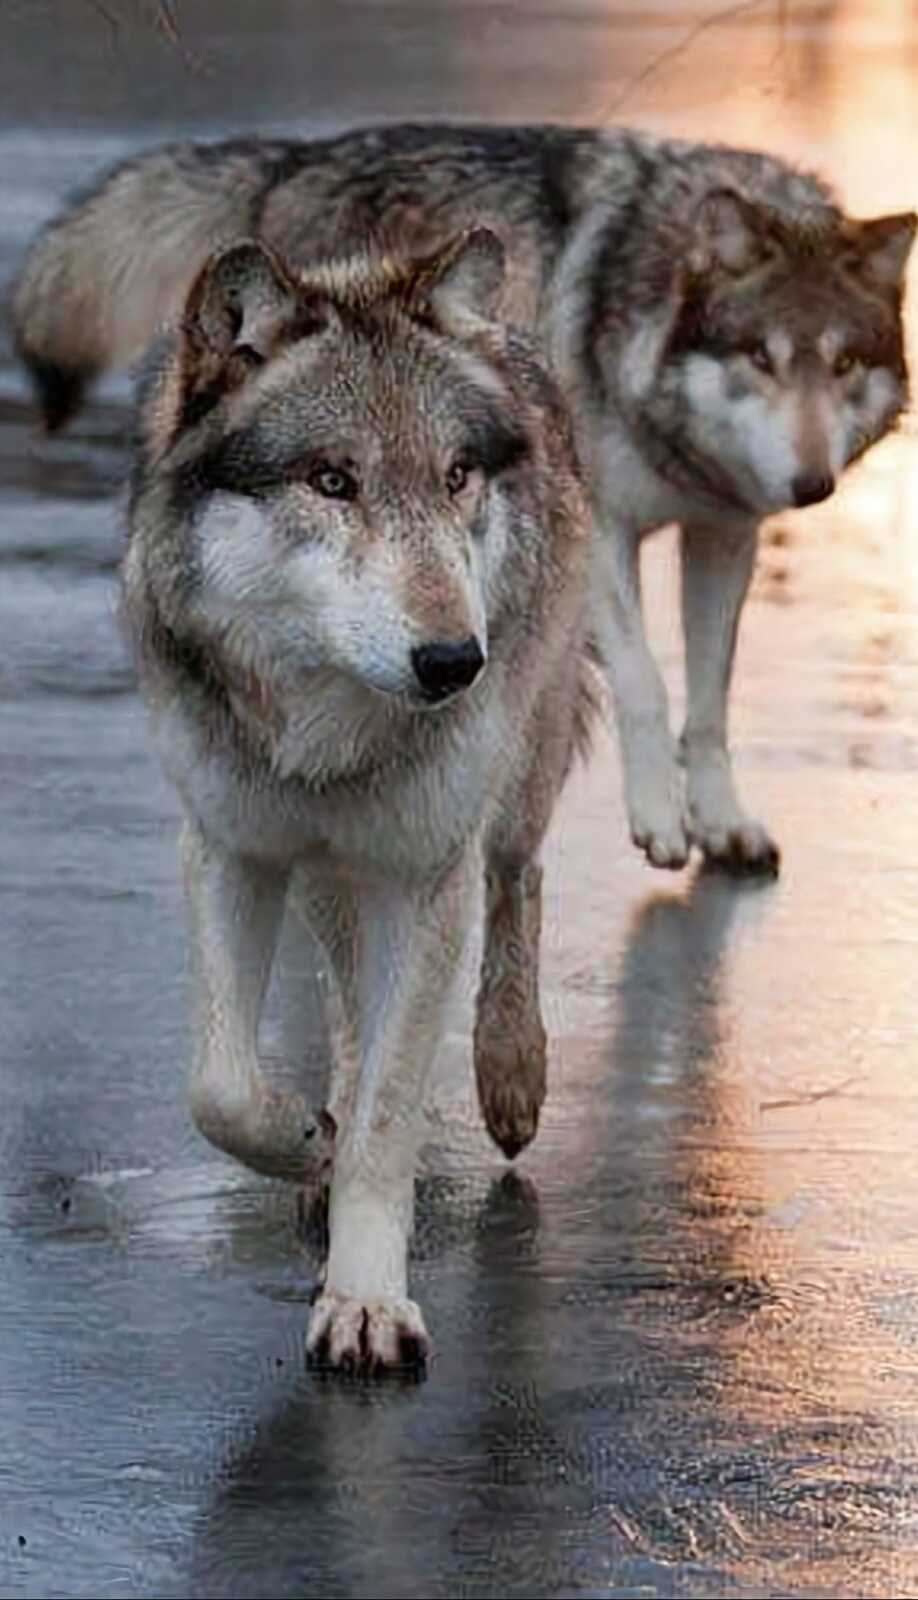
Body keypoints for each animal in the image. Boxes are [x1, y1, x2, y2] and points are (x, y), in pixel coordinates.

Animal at [12, 123, 915, 875]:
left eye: (841, 365)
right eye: (761, 356)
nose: (810, 484)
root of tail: (290, 159)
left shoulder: (724, 532)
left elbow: (711, 698)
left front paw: (724, 824)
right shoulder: (605, 534)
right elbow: (647, 684)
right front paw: (661, 821)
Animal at [113, 225, 594, 1371]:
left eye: (457, 475)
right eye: (333, 479)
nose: (454, 661)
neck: (320, 732)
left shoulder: (422, 875)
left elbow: (389, 1118)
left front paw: (366, 1302)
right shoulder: (232, 848)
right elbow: (221, 1087)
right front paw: (303, 1139)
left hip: (510, 783)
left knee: (518, 881)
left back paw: (512, 1071)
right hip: (334, 874)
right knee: (337, 1002)